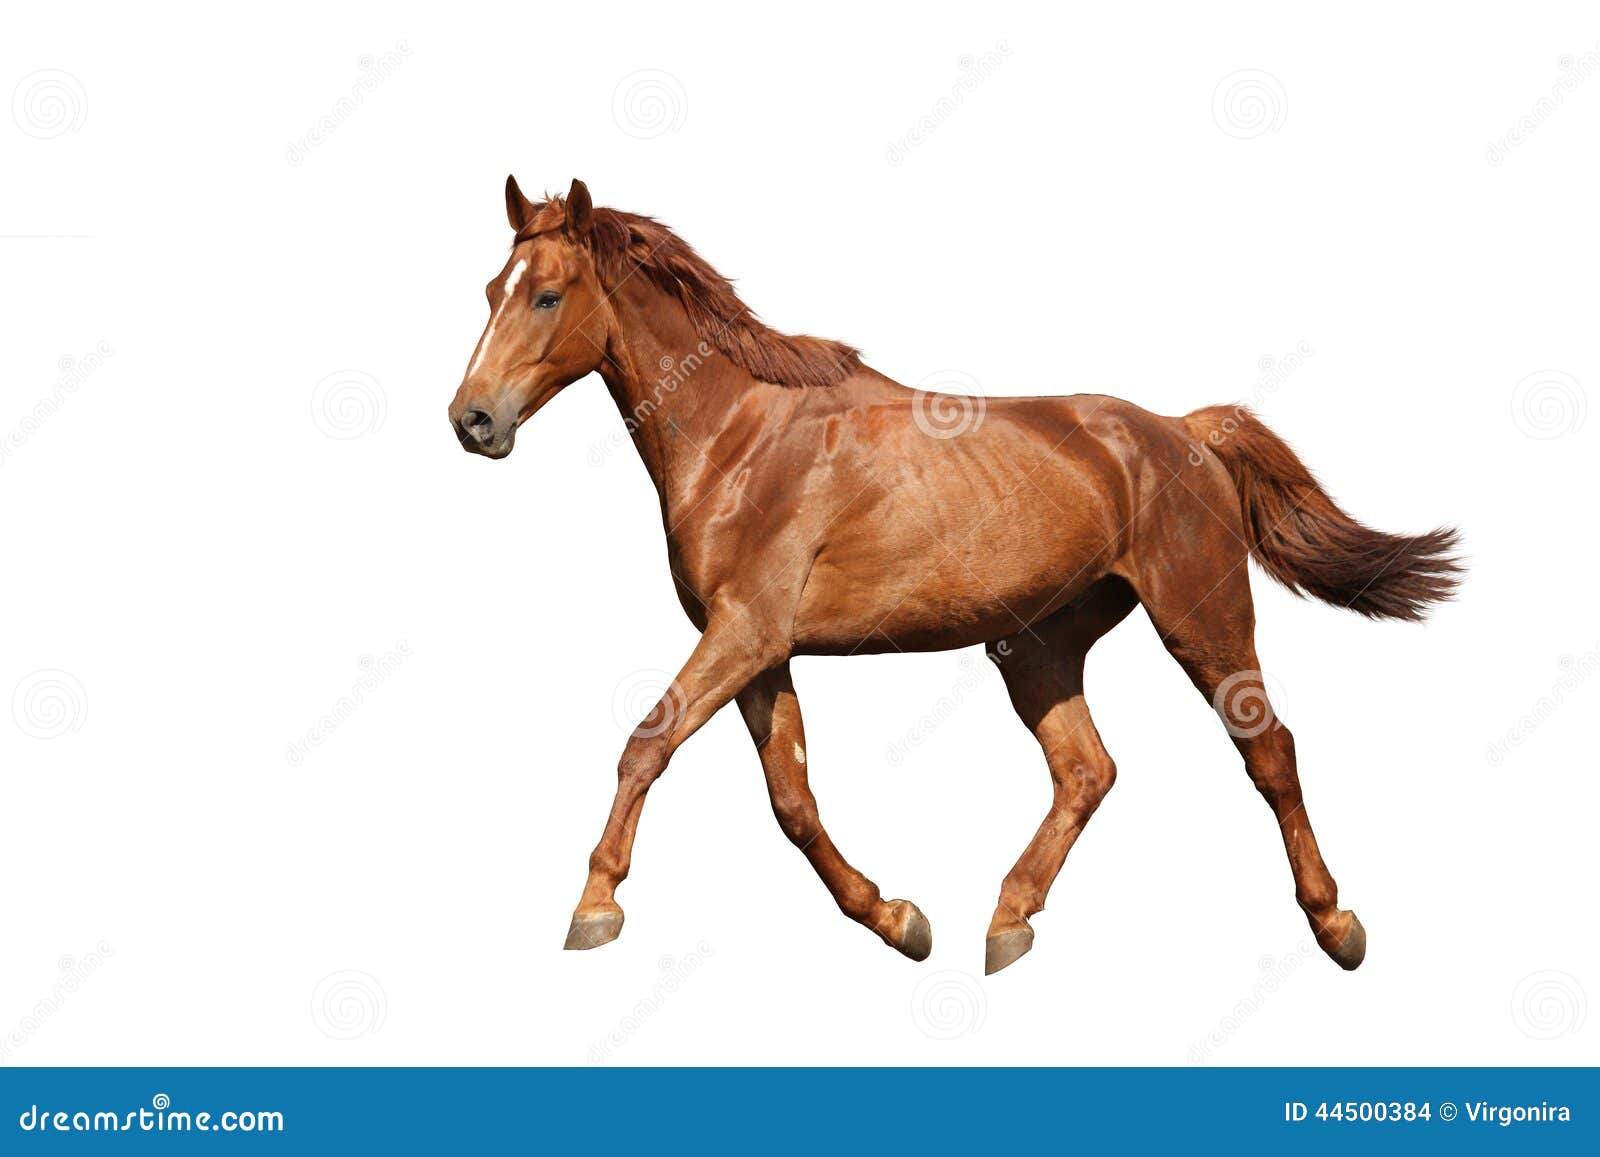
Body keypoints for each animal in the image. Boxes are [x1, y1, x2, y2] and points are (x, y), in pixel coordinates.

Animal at [447, 177, 1461, 975]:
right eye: (493, 289)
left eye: (547, 296)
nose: (472, 419)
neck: (740, 433)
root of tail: (1184, 430)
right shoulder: (760, 651)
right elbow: (792, 800)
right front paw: (899, 920)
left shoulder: (744, 631)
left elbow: (646, 742)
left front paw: (595, 907)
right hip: (1037, 646)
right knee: (1088, 770)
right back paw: (1006, 921)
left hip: (1201, 618)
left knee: (1269, 751)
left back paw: (1336, 924)